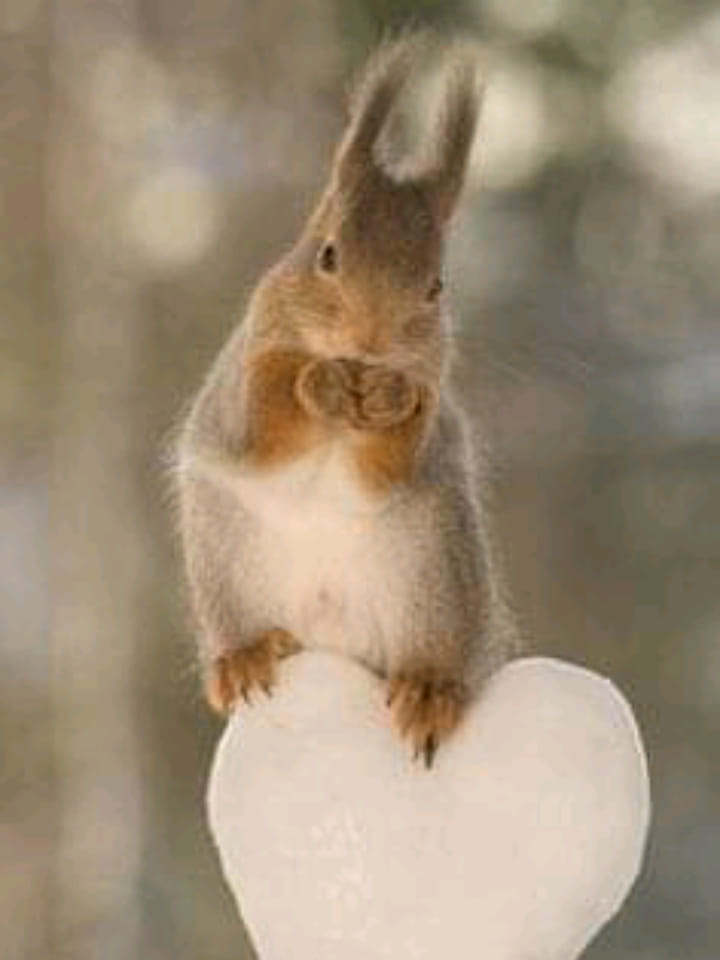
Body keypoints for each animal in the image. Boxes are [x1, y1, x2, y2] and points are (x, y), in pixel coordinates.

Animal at [173, 36, 519, 767]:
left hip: (433, 576)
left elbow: (391, 457)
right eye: (326, 255)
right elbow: (267, 417)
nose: (370, 341)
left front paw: (389, 395)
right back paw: (244, 658)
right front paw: (319, 383)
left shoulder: (428, 416)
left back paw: (428, 690)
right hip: (224, 564)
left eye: (437, 286)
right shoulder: (241, 384)